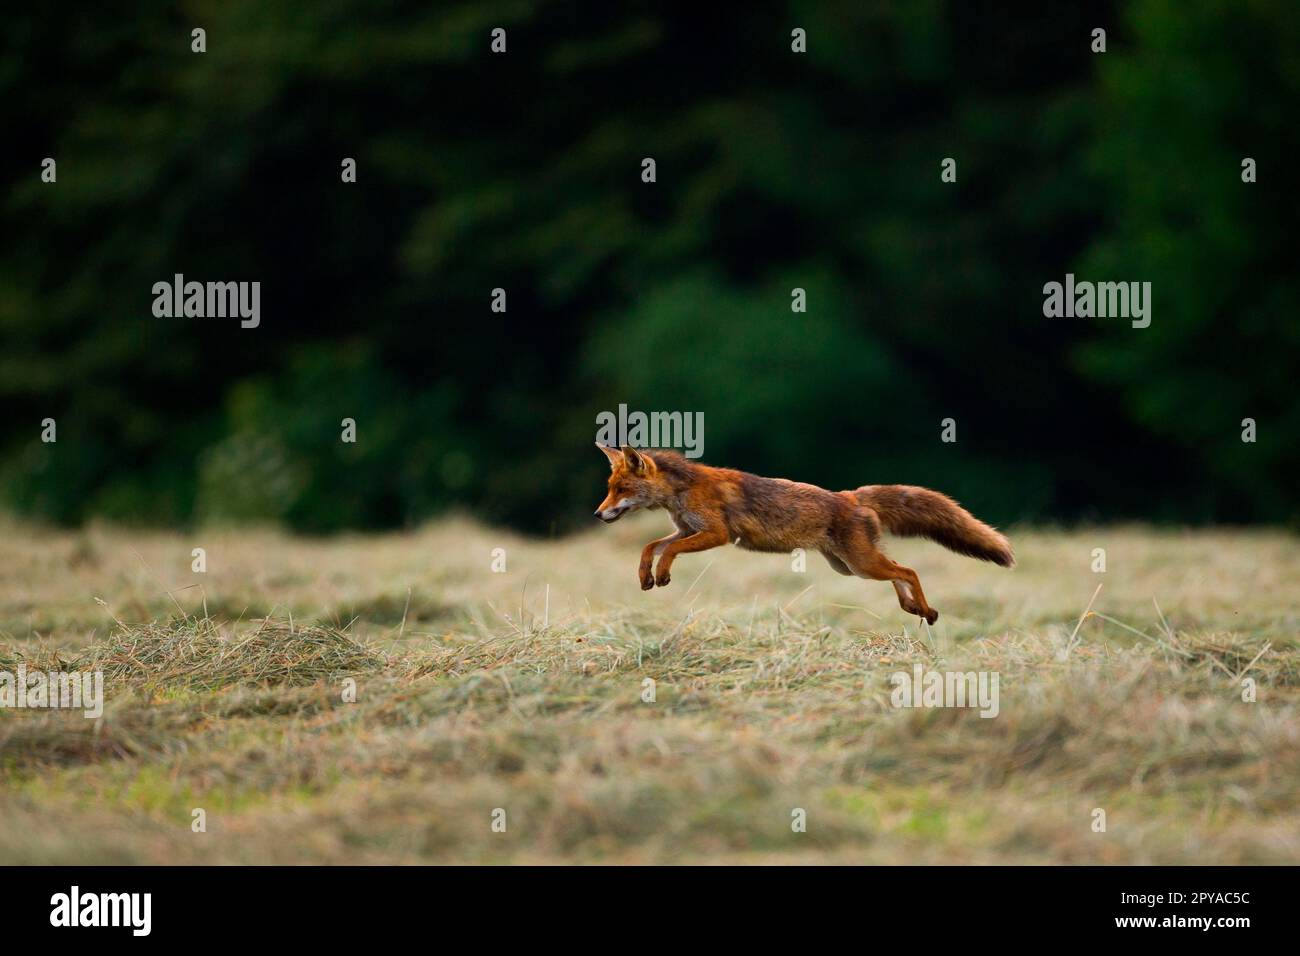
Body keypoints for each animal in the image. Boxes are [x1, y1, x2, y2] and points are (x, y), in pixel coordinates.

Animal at [593, 444, 1013, 624]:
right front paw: (646, 576)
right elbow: (650, 545)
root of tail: (850, 495)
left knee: (908, 570)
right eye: (610, 487)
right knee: (899, 569)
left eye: (621, 489)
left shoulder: (716, 534)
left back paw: (924, 609)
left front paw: (662, 574)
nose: (598, 513)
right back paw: (915, 608)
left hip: (862, 564)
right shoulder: (684, 529)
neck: (683, 492)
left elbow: (668, 551)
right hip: (851, 567)